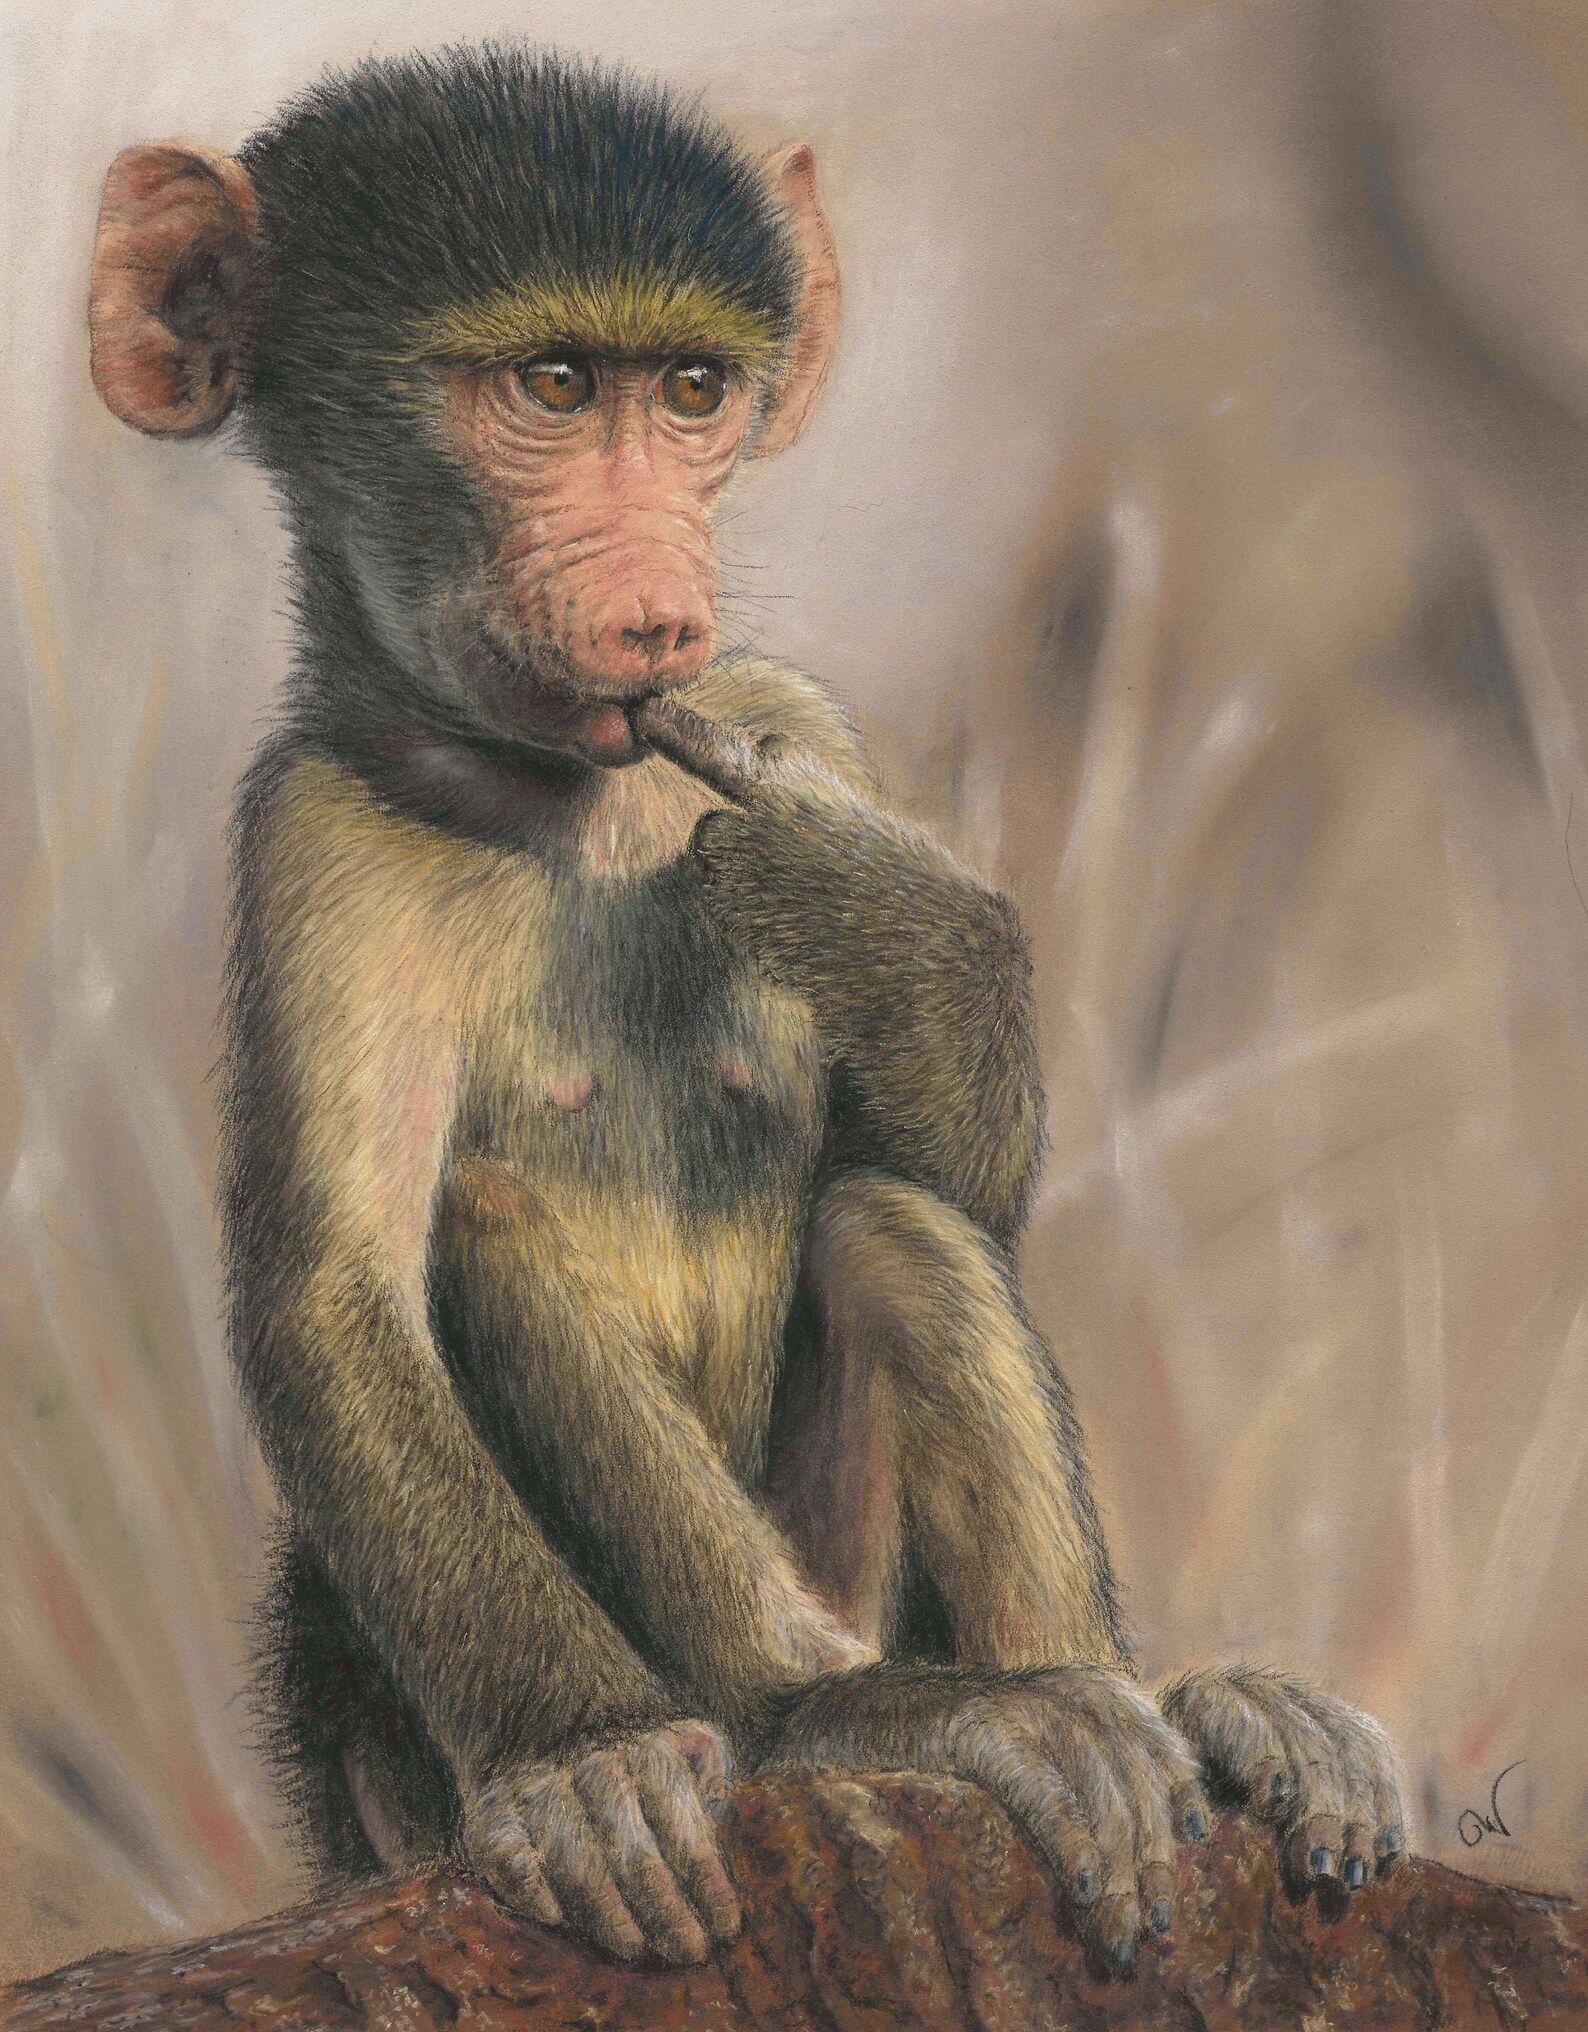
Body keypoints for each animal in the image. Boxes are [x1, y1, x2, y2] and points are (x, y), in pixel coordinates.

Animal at [87, 42, 1405, 1979]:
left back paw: (1143, 1701)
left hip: (854, 1564)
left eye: (692, 392)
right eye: (554, 387)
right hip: (409, 1748)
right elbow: (332, 1297)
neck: (564, 791)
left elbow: (954, 1175)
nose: (659, 603)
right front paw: (580, 1754)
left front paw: (879, 910)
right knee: (492, 1230)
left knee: (897, 1228)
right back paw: (829, 1721)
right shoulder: (317, 845)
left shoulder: (791, 712)